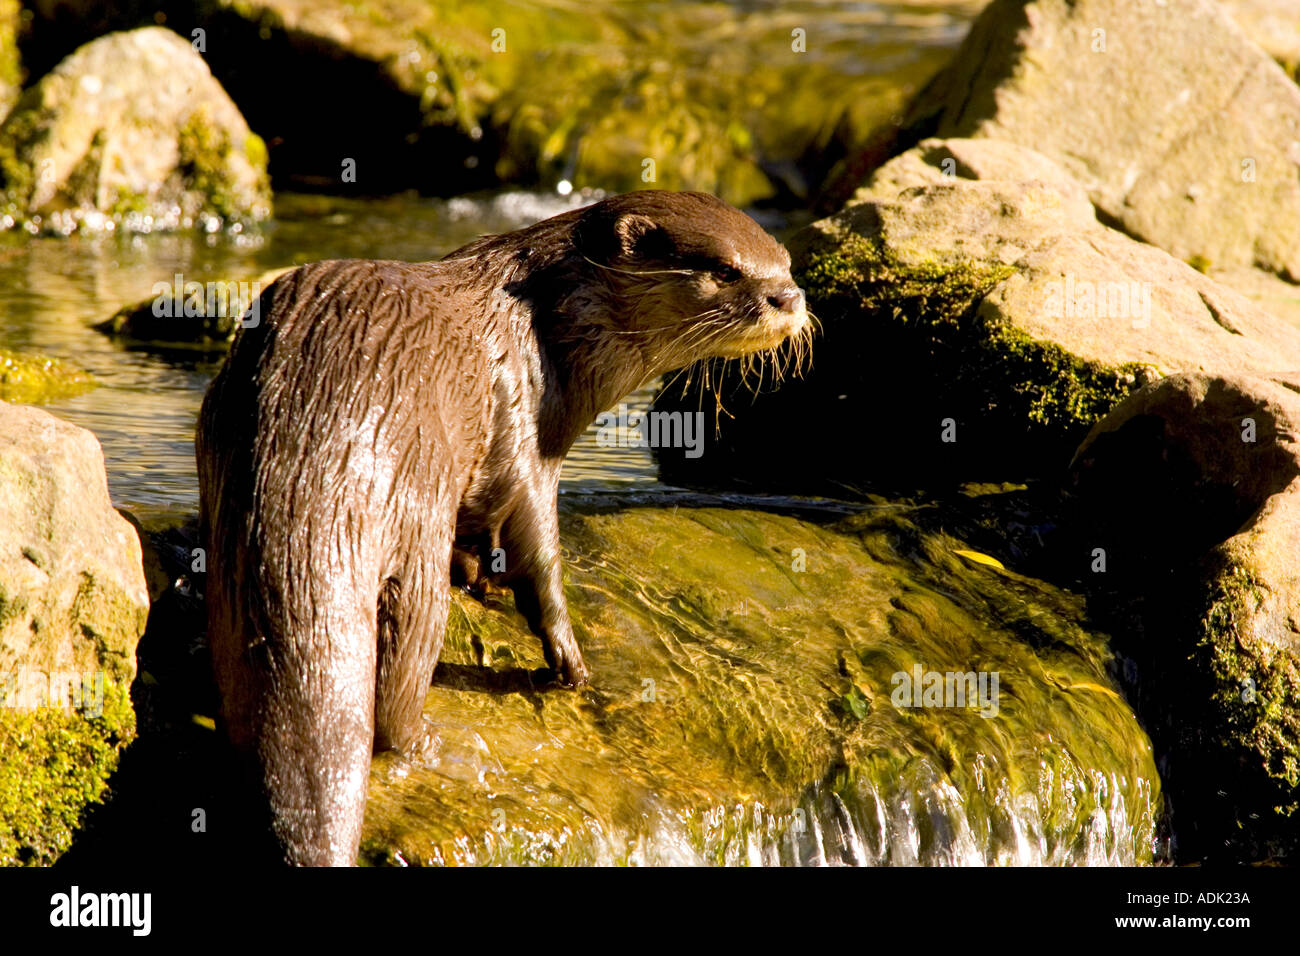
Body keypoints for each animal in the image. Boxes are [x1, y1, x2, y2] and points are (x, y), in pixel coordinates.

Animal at [196, 190, 810, 865]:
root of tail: (319, 442)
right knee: (404, 663)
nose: (789, 298)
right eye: (725, 270)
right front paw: (567, 660)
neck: (550, 331)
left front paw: (478, 574)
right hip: (416, 506)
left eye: (786, 262)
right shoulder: (524, 429)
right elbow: (536, 551)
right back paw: (430, 742)